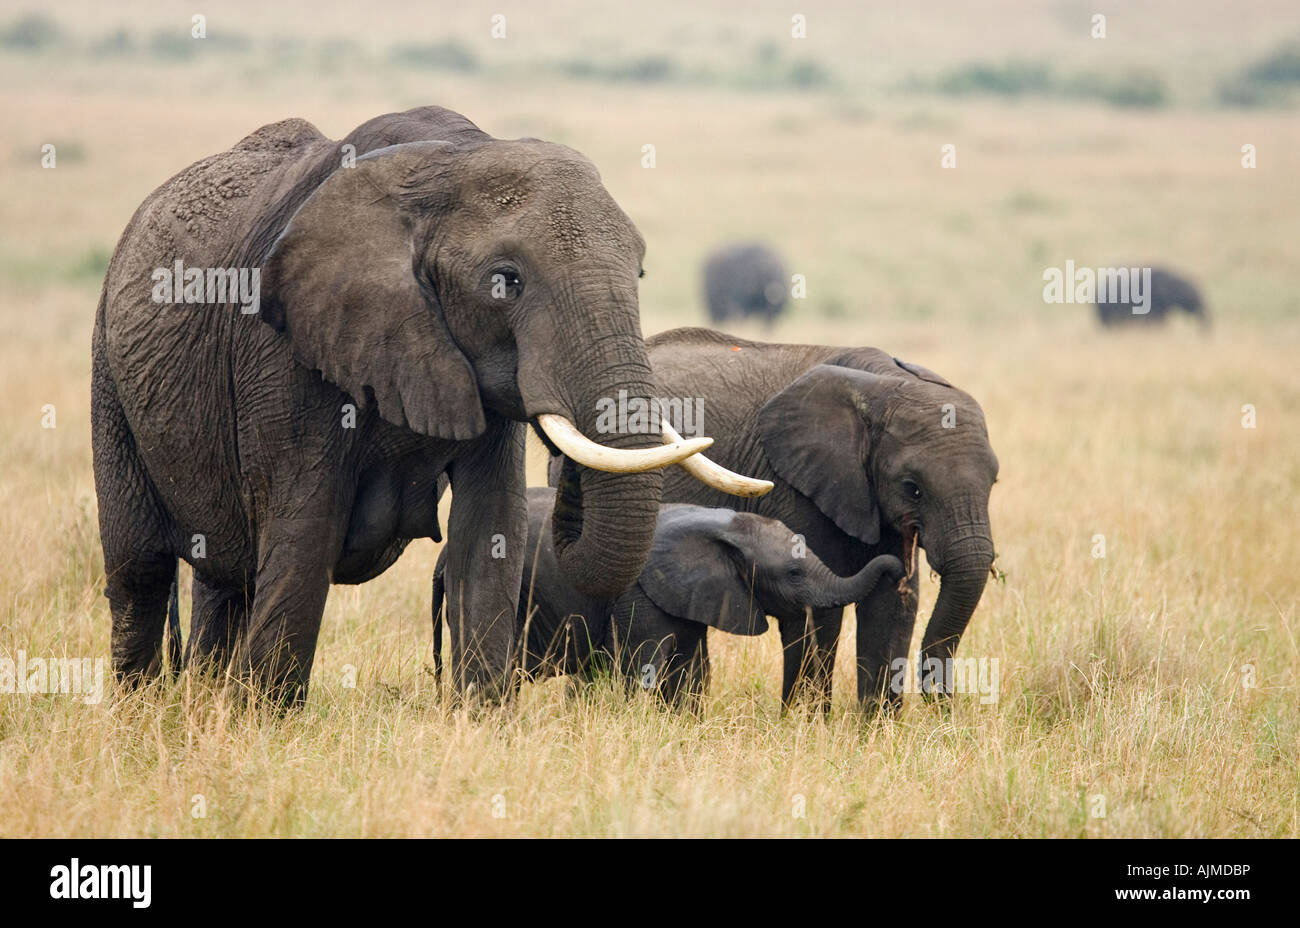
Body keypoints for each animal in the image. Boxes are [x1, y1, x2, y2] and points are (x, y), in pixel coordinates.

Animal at [91, 106, 763, 705]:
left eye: (641, 273)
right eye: (506, 281)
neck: (448, 161)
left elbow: (489, 529)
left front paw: (479, 719)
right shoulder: (285, 350)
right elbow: (305, 530)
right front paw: (266, 720)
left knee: (221, 576)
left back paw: (202, 705)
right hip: (109, 372)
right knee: (141, 569)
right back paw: (142, 713)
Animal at [432, 487, 905, 705]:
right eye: (792, 572)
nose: (899, 569)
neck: (723, 524)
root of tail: (442, 555)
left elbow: (690, 670)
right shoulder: (638, 594)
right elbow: (642, 667)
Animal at [555, 327, 1000, 714]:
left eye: (994, 481)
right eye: (913, 488)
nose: (946, 709)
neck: (884, 385)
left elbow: (891, 608)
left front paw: (876, 734)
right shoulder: (797, 483)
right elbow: (817, 609)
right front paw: (809, 725)